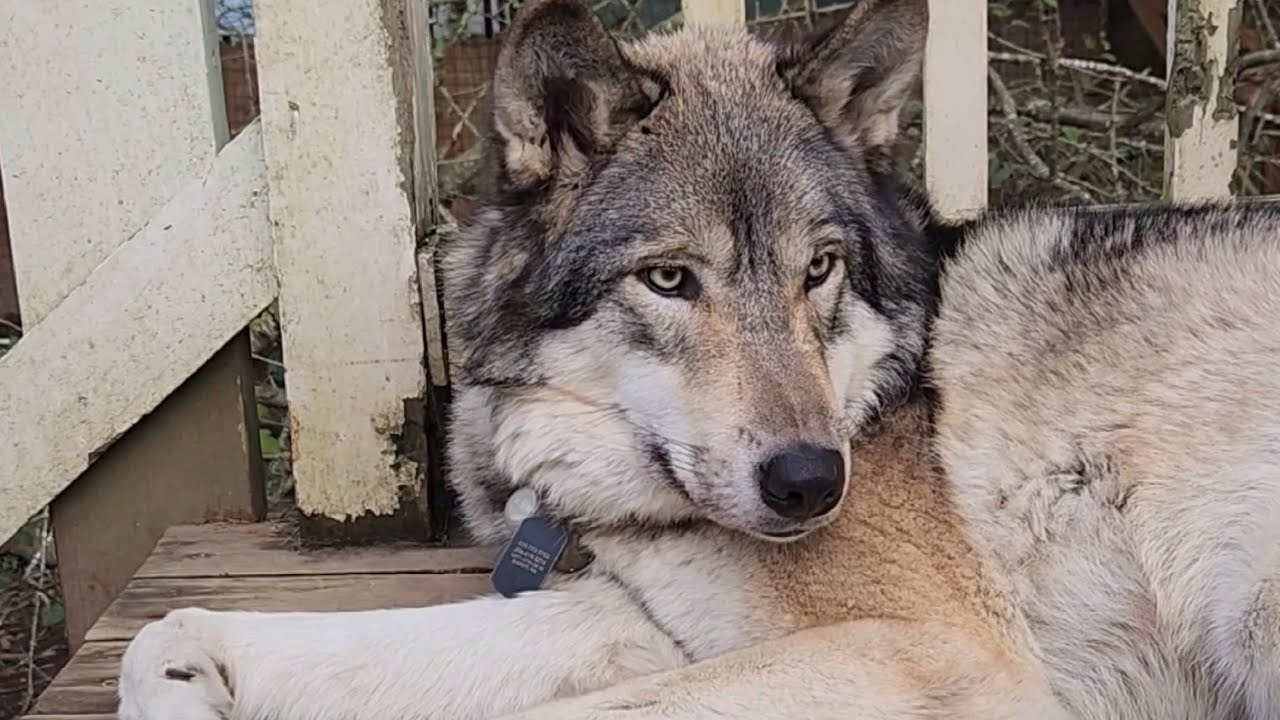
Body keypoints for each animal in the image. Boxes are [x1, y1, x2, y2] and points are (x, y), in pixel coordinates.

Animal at [115, 0, 1280, 717]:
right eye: (670, 279)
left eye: (819, 269)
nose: (811, 482)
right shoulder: (647, 619)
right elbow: (185, 633)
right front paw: (184, 674)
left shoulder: (937, 652)